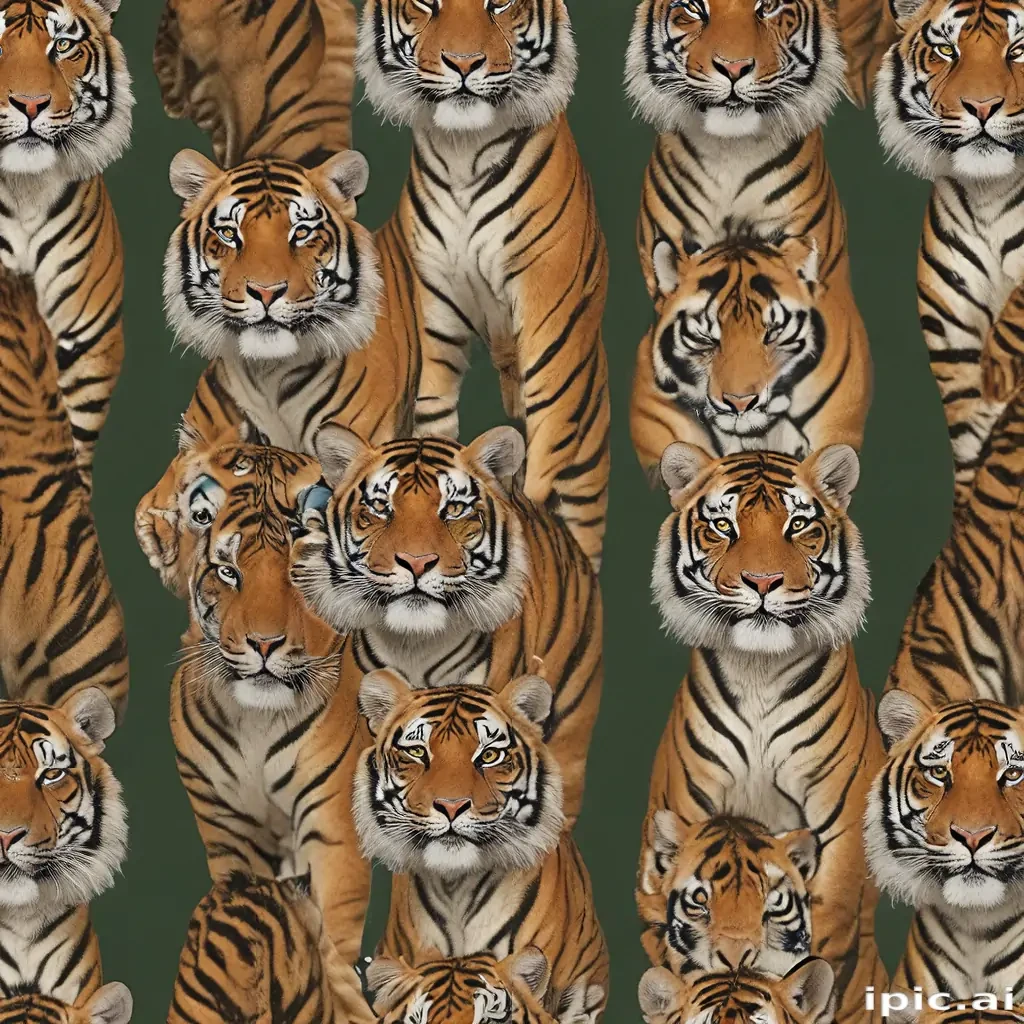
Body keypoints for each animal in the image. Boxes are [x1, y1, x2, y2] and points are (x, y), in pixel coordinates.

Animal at [357, 0, 611, 571]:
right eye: (426, 5)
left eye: (500, 4)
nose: (464, 63)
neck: (463, 151)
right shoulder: (436, 321)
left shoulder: (547, 310)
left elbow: (545, 433)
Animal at [875, 0, 1024, 505]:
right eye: (946, 50)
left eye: (1018, 49)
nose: (981, 107)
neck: (990, 193)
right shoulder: (954, 350)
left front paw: (998, 372)